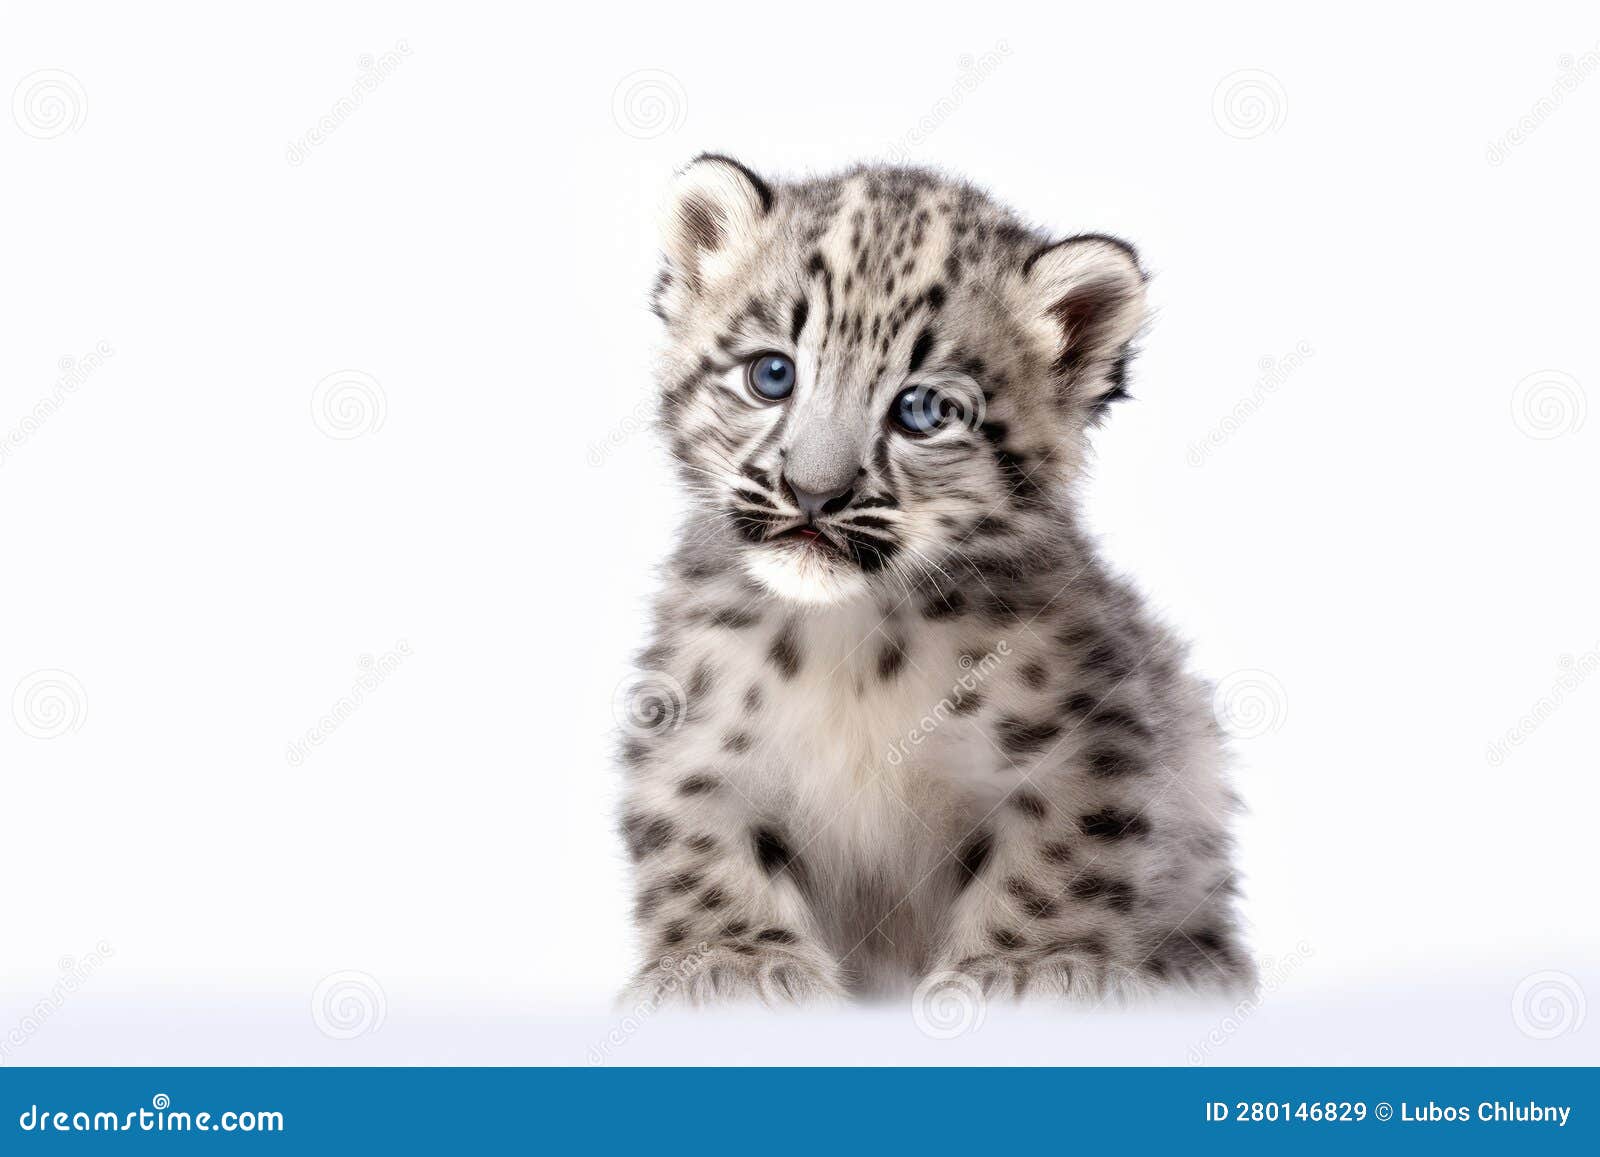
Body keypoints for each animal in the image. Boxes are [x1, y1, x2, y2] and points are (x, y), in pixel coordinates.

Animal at [615, 155, 1251, 1006]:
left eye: (924, 410)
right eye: (771, 373)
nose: (812, 493)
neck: (847, 645)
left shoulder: (1080, 743)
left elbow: (1058, 855)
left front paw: (1028, 967)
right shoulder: (691, 736)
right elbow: (697, 847)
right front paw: (728, 961)